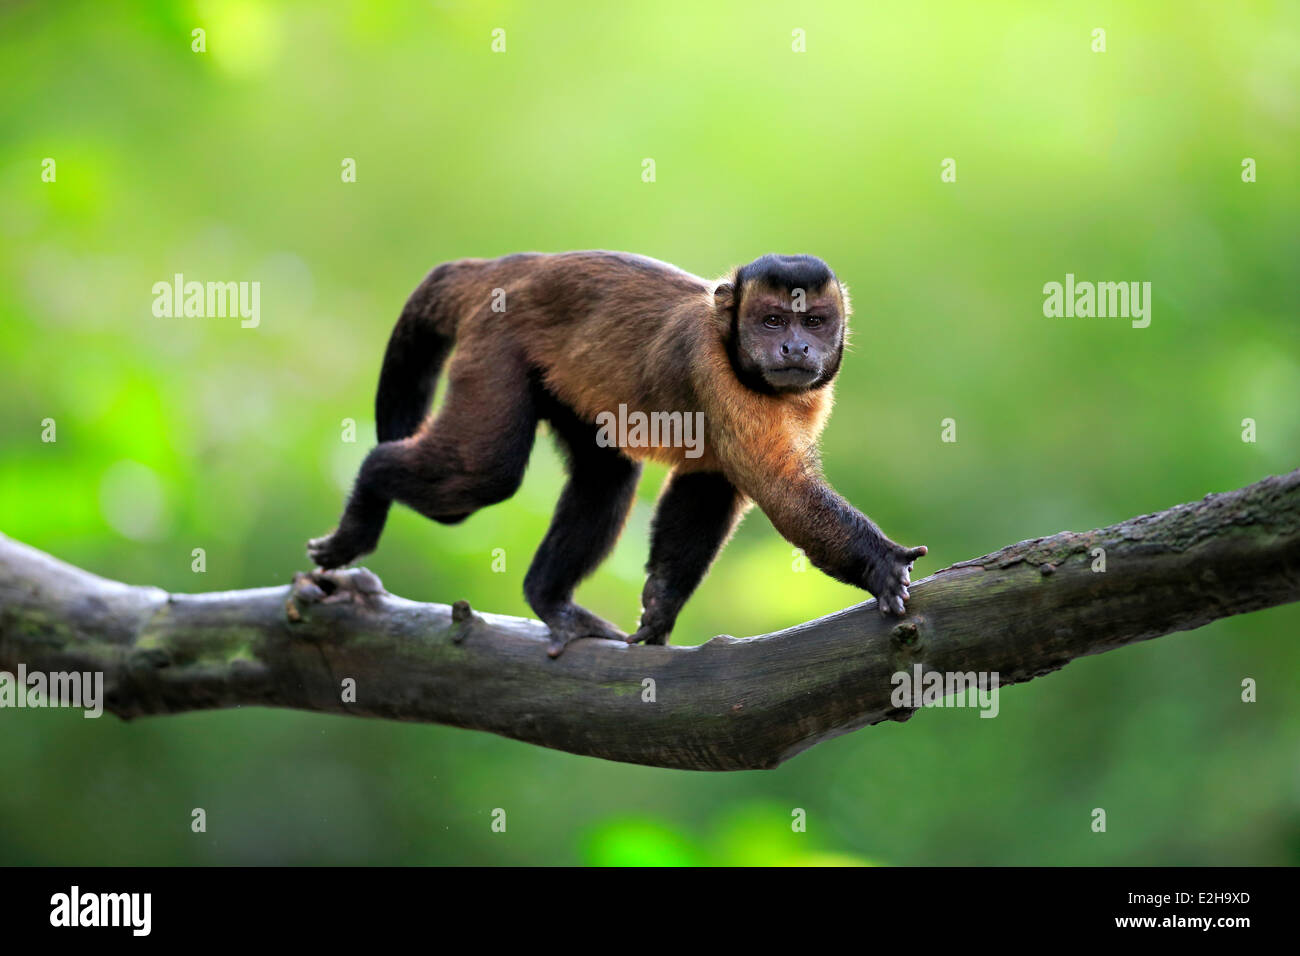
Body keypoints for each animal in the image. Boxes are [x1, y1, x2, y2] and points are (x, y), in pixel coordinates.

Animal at [308, 251, 926, 657]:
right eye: (773, 319)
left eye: (814, 322)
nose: (796, 347)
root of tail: (507, 265)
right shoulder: (711, 368)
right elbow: (778, 487)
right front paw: (880, 563)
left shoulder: (809, 396)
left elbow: (708, 481)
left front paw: (660, 607)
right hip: (495, 339)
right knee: (484, 475)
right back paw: (371, 486)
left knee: (604, 475)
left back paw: (549, 598)